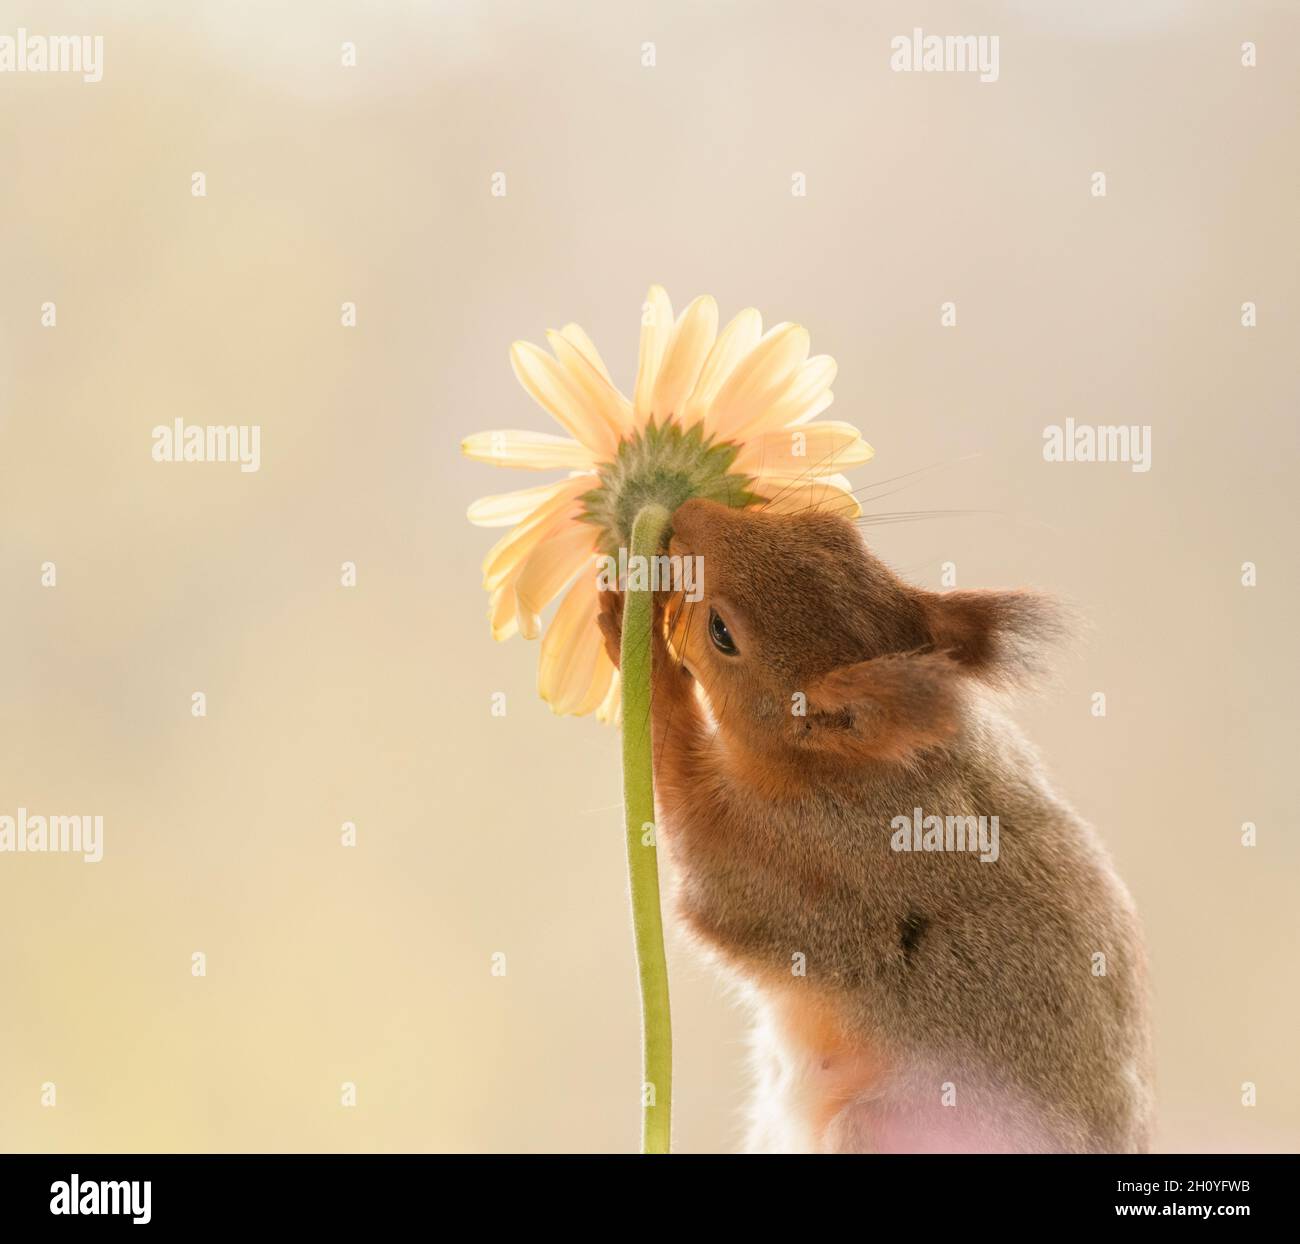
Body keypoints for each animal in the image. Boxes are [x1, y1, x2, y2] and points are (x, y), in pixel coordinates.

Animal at [597, 497, 1153, 1154]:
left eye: (722, 633)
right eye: (826, 526)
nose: (686, 514)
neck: (872, 768)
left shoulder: (798, 866)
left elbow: (693, 822)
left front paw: (635, 641)